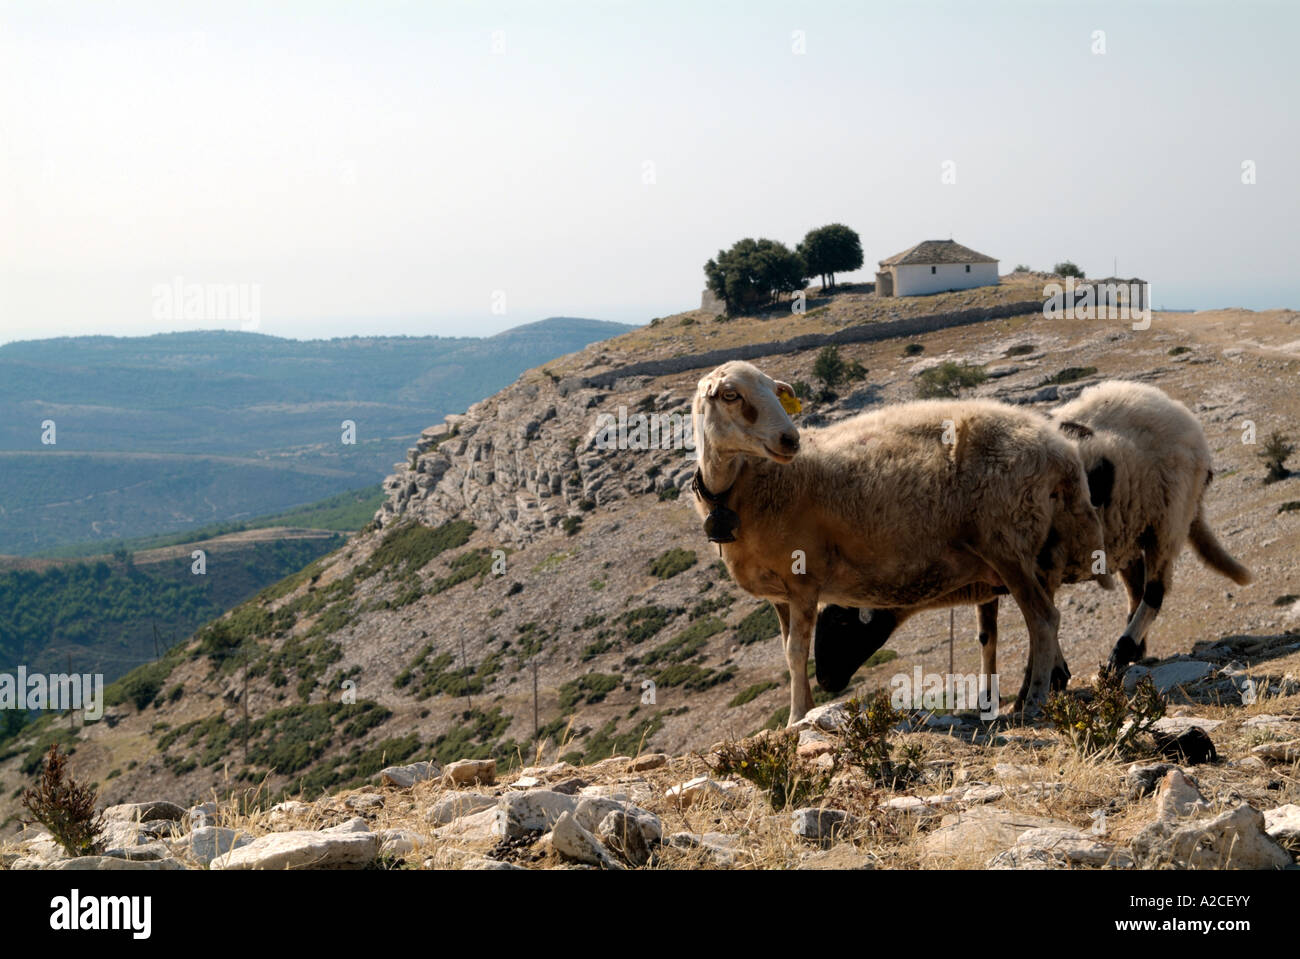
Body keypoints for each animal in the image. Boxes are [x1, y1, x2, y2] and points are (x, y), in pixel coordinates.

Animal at [689, 360, 1109, 724]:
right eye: (730, 394)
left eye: (776, 393)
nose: (790, 440)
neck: (742, 485)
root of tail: (1061, 452)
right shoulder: (779, 593)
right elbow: (788, 652)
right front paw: (803, 710)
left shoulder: (803, 578)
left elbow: (796, 653)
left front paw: (795, 718)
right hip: (1032, 548)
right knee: (1040, 618)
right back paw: (1033, 694)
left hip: (1006, 542)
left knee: (1043, 619)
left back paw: (1034, 700)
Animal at [816, 379, 1252, 694]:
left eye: (839, 622)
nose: (825, 682)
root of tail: (1178, 411)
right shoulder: (998, 575)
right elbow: (987, 635)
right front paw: (992, 695)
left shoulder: (1038, 562)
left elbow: (1041, 622)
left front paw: (1045, 681)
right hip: (1130, 534)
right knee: (1136, 590)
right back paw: (1132, 655)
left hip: (1168, 520)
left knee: (1155, 593)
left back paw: (1119, 654)